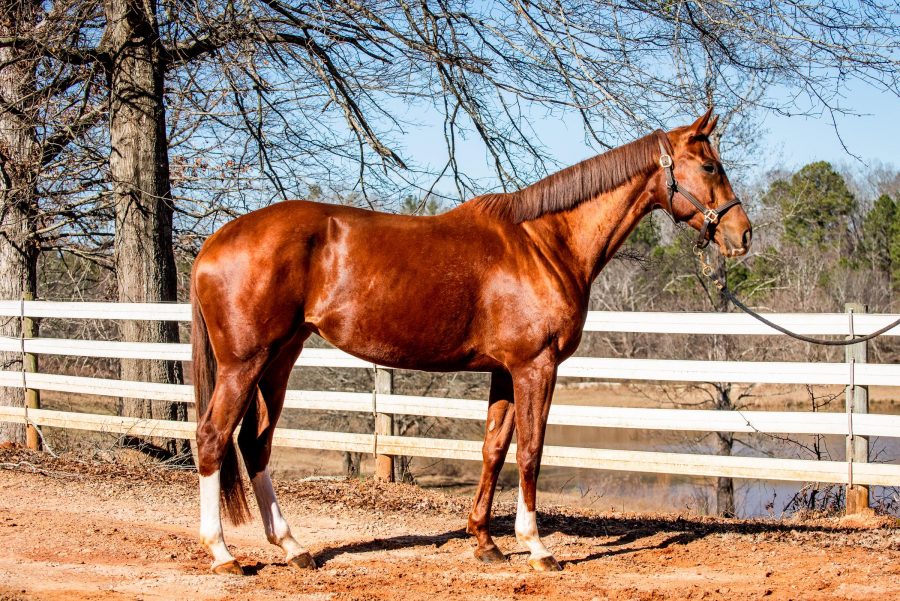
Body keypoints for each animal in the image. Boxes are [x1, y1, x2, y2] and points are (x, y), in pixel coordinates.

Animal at [190, 109, 752, 575]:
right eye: (709, 166)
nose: (743, 235)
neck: (544, 243)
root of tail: (214, 242)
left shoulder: (504, 370)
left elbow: (494, 449)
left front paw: (485, 542)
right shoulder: (535, 366)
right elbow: (531, 451)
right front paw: (537, 547)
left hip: (280, 359)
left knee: (255, 443)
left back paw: (293, 547)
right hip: (245, 363)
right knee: (213, 437)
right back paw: (223, 554)